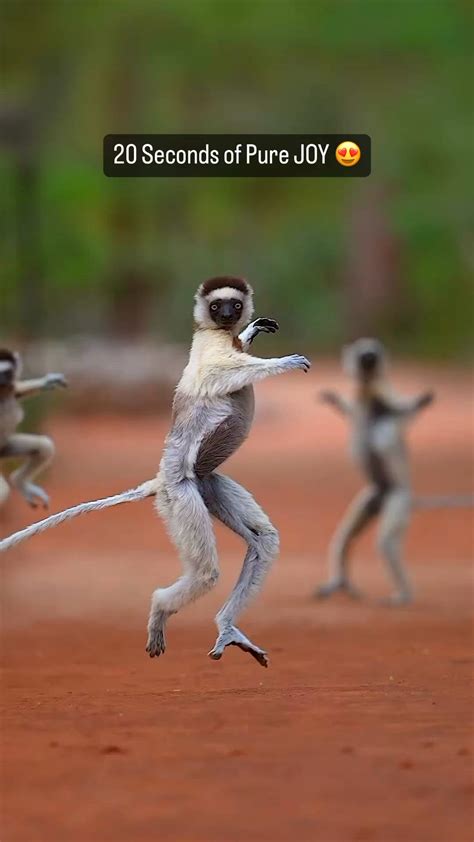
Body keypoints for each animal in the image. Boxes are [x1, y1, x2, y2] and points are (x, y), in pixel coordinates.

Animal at [0, 349, 67, 510]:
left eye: (7, 372)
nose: (2, 380)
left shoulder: (10, 387)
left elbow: (17, 391)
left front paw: (46, 382)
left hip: (4, 448)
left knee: (43, 446)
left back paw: (20, 482)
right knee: (2, 490)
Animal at [314, 338, 435, 605]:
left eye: (373, 354)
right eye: (364, 354)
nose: (369, 358)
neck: (366, 389)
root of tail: (385, 492)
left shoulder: (383, 395)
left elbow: (403, 411)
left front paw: (424, 400)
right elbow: (350, 410)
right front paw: (334, 399)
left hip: (398, 497)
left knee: (387, 544)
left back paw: (403, 595)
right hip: (373, 497)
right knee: (345, 538)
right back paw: (340, 584)